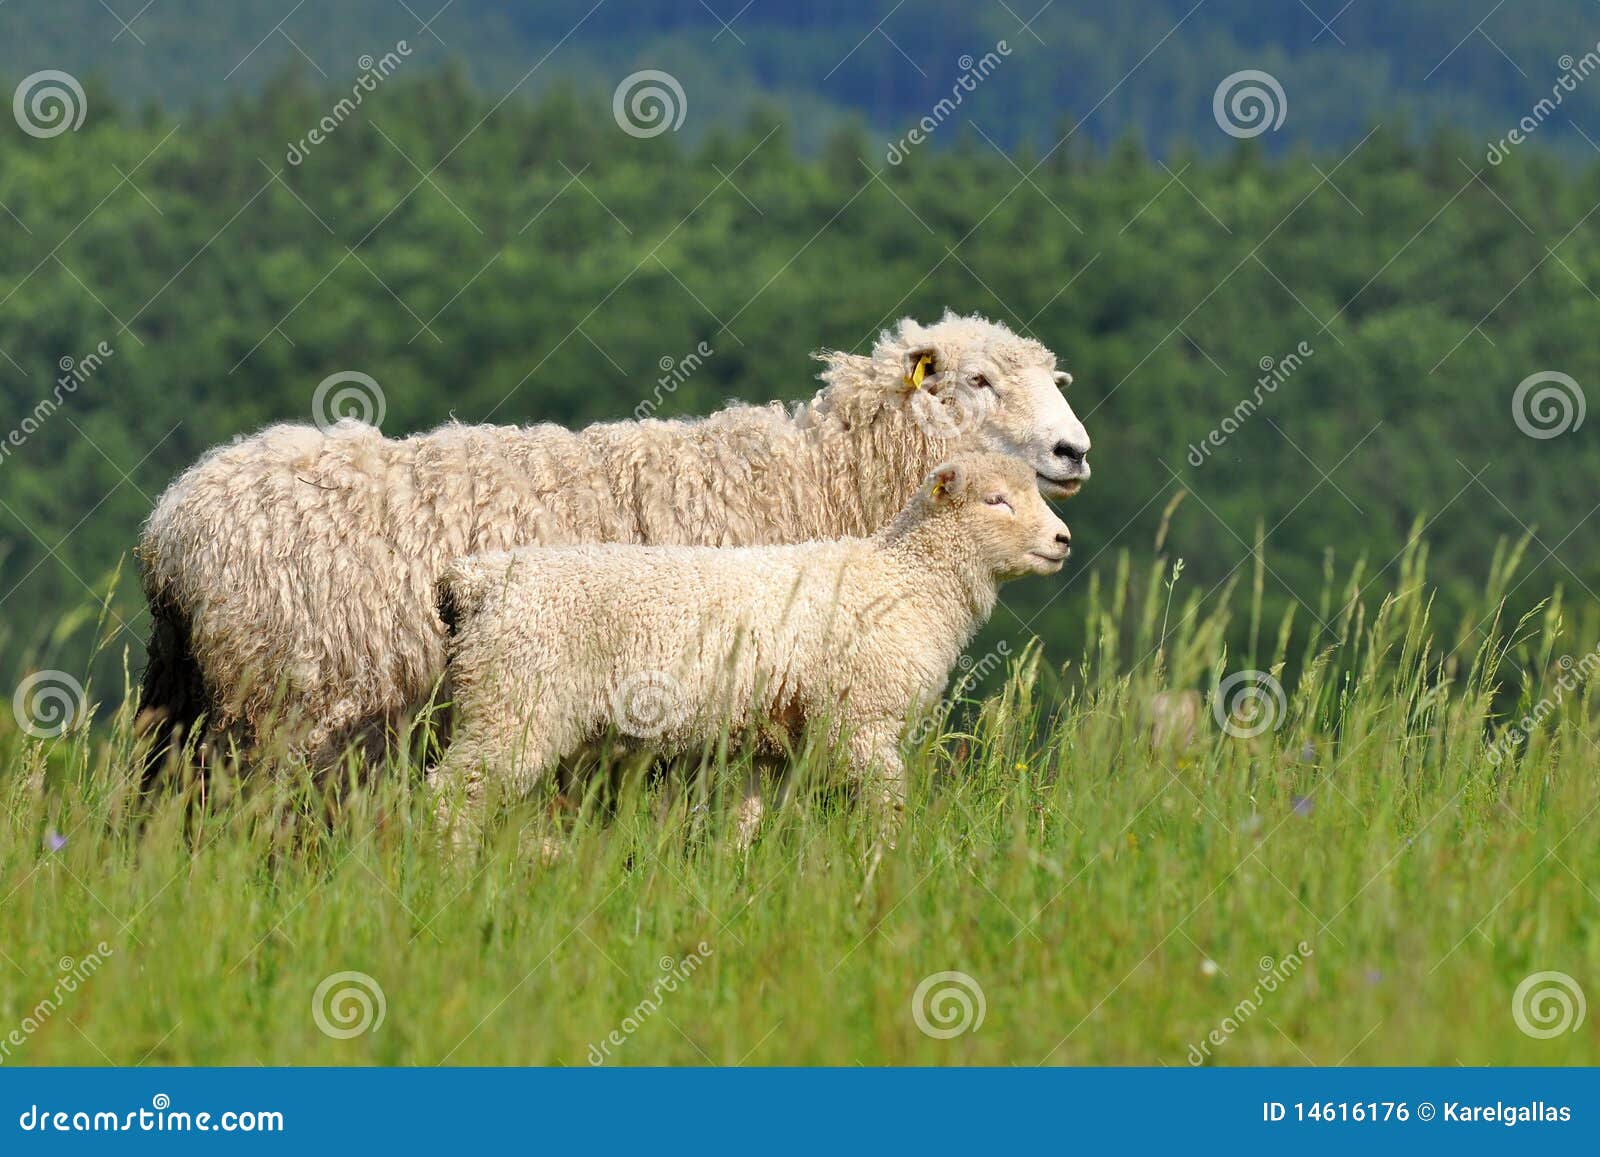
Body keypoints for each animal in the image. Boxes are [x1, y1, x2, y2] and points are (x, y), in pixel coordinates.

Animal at [135, 311, 1091, 772]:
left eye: (1056, 377)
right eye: (978, 379)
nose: (1074, 451)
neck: (816, 479)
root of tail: (170, 523)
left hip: (185, 698)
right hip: (283, 706)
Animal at [430, 451, 1073, 843]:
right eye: (995, 500)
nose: (1064, 539)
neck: (902, 579)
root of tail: (473, 582)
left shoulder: (773, 744)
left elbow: (750, 818)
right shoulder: (863, 721)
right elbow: (885, 805)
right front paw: (888, 866)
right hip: (514, 703)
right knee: (453, 792)